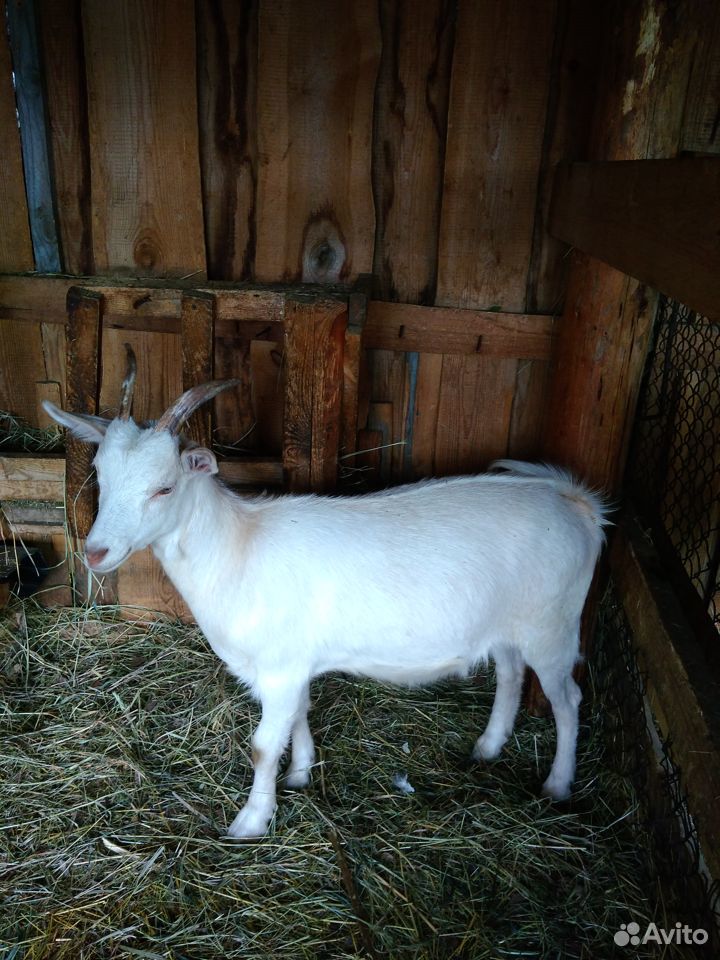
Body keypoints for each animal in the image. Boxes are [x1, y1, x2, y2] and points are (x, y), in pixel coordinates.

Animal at [44, 346, 610, 838]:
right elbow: (299, 712)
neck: (238, 548)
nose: (96, 552)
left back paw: (557, 785)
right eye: (100, 475)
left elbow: (262, 746)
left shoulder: (279, 666)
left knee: (567, 697)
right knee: (511, 673)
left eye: (164, 487)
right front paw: (300, 772)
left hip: (552, 623)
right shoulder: (292, 664)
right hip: (511, 621)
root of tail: (575, 502)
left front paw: (250, 822)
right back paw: (488, 748)